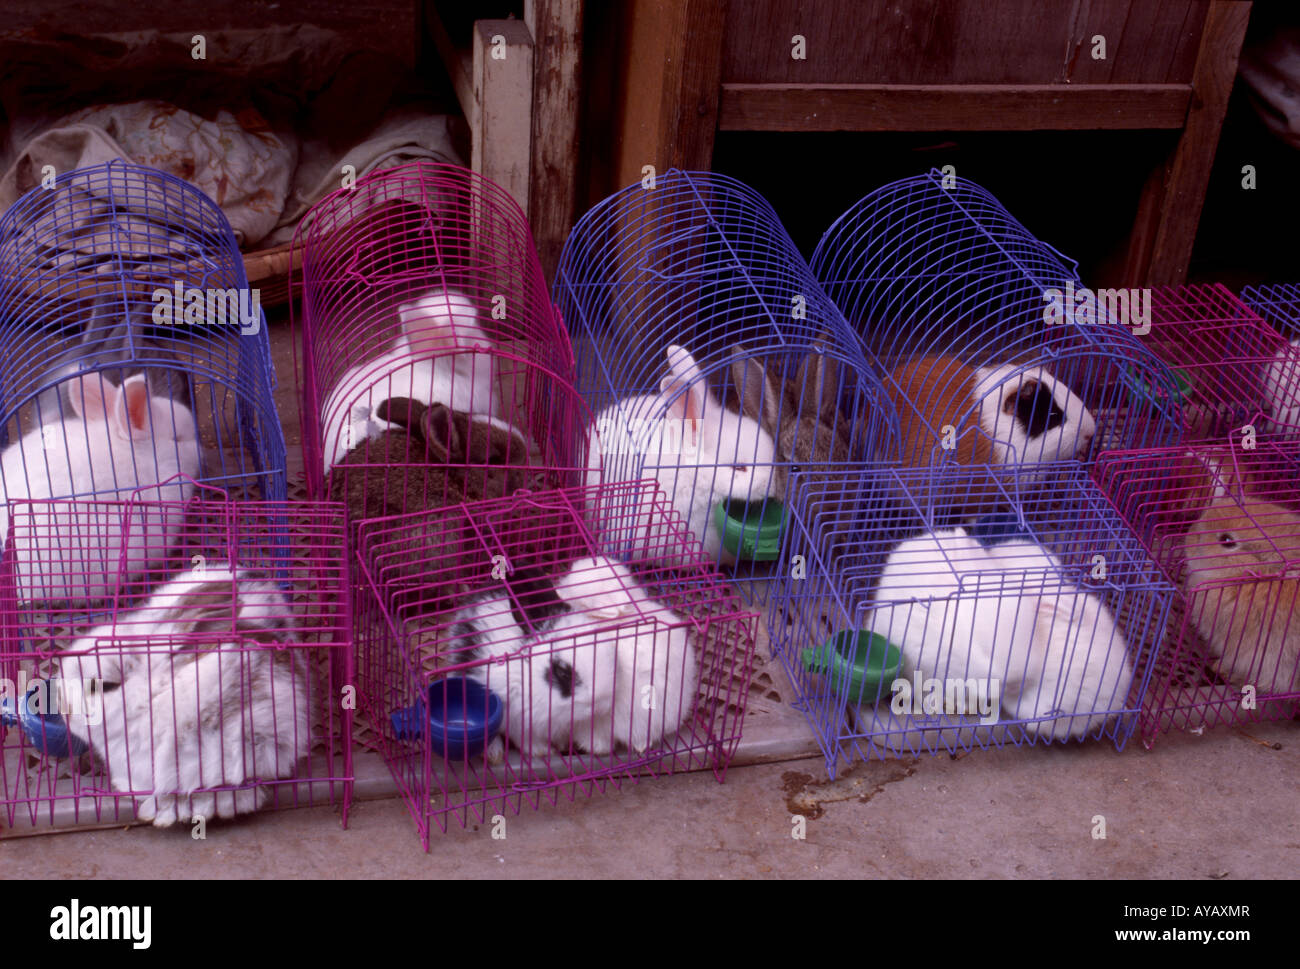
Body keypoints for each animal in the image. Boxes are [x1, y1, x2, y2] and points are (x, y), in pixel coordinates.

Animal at [56, 566, 311, 827]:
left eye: (105, 686)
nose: (62, 707)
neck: (156, 699)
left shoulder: (257, 742)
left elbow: (233, 785)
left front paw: (189, 809)